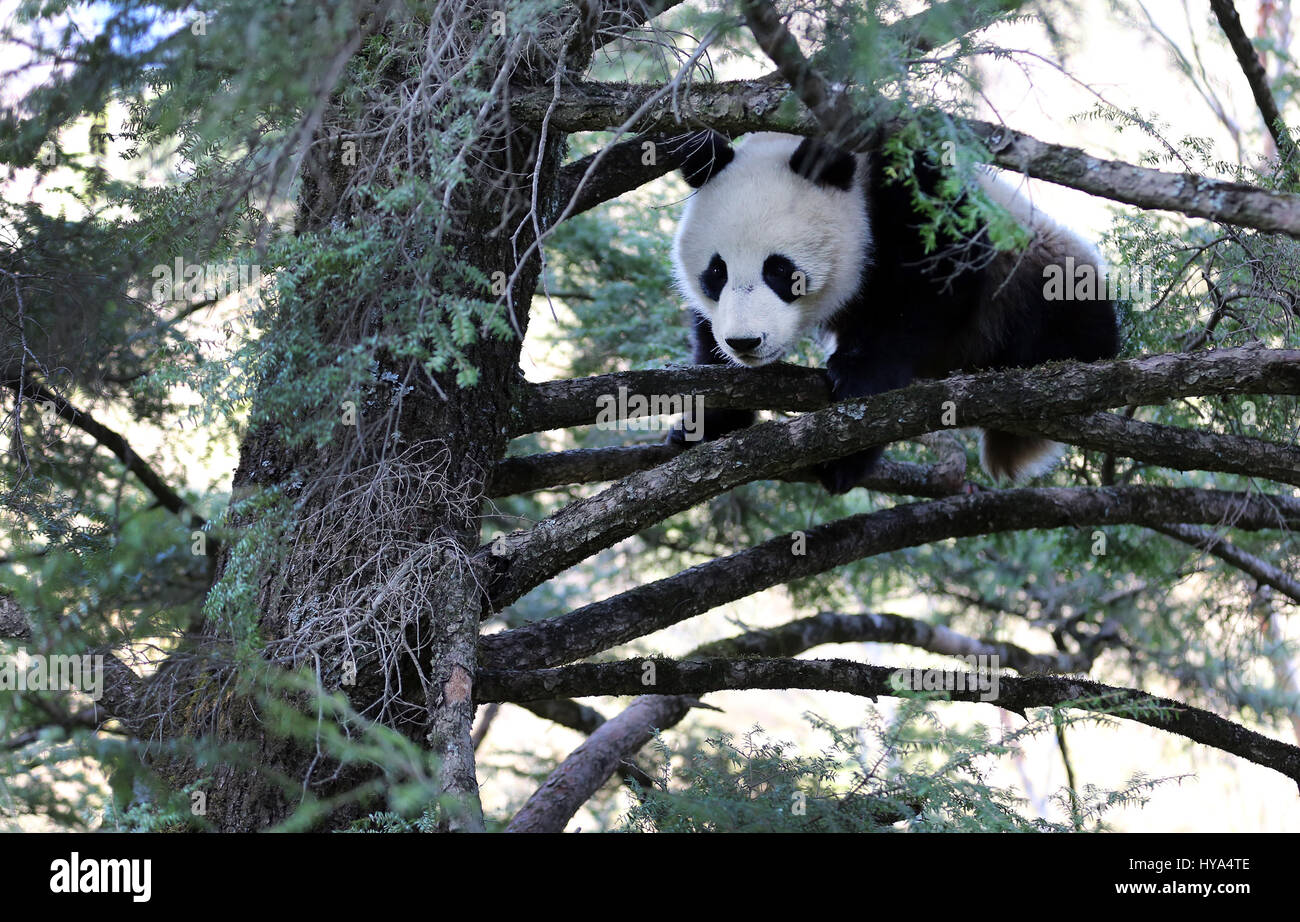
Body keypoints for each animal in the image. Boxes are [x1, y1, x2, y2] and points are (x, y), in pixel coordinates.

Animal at [668, 130, 1120, 494]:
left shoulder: (913, 190)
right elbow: (710, 347)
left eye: (779, 270)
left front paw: (860, 373)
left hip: (1033, 267)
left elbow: (938, 282)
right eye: (716, 272)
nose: (745, 342)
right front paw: (707, 427)